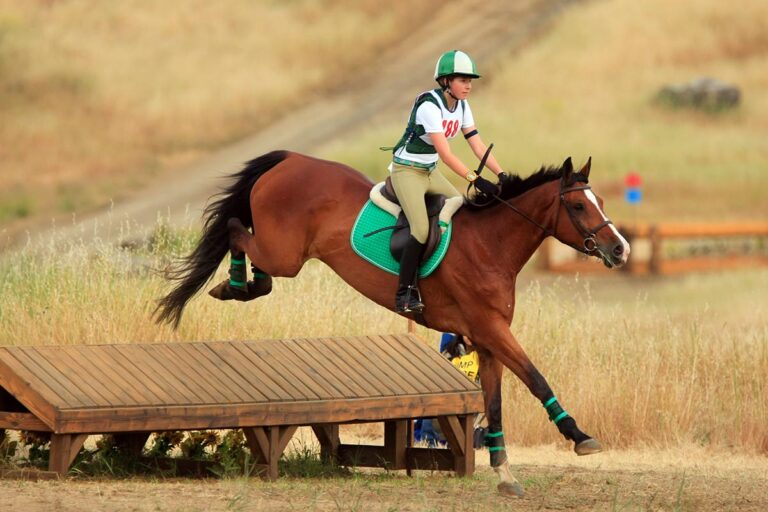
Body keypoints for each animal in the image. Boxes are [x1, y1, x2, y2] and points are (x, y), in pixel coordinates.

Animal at [154, 150, 630, 496]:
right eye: (576, 205)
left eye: (602, 202)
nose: (620, 249)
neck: (491, 243)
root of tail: (291, 159)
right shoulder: (491, 330)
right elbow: (535, 378)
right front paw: (578, 435)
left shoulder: (486, 338)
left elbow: (494, 402)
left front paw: (504, 473)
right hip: (285, 253)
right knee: (237, 229)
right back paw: (234, 284)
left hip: (284, 253)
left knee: (248, 247)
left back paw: (244, 284)